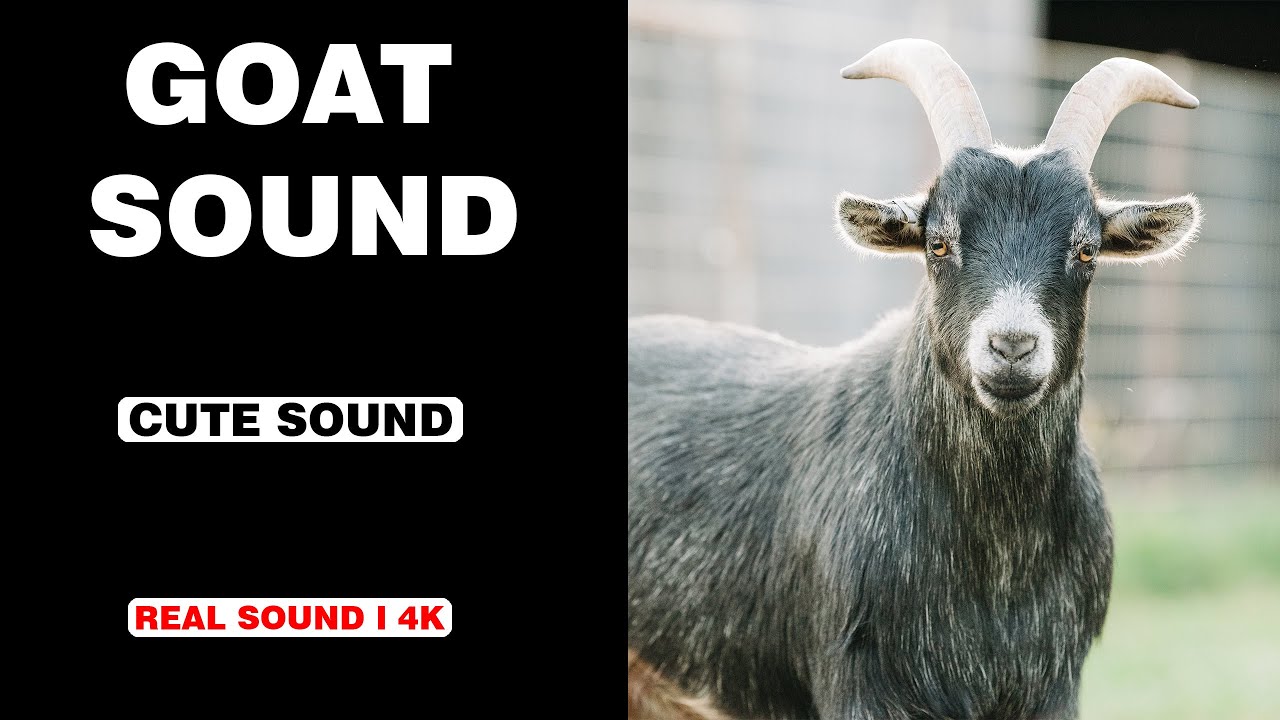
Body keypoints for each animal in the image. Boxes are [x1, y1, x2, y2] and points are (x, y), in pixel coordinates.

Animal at [628, 39, 1202, 720]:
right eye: (937, 243)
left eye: (1086, 250)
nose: (1011, 345)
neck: (996, 558)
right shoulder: (863, 679)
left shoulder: (1054, 685)